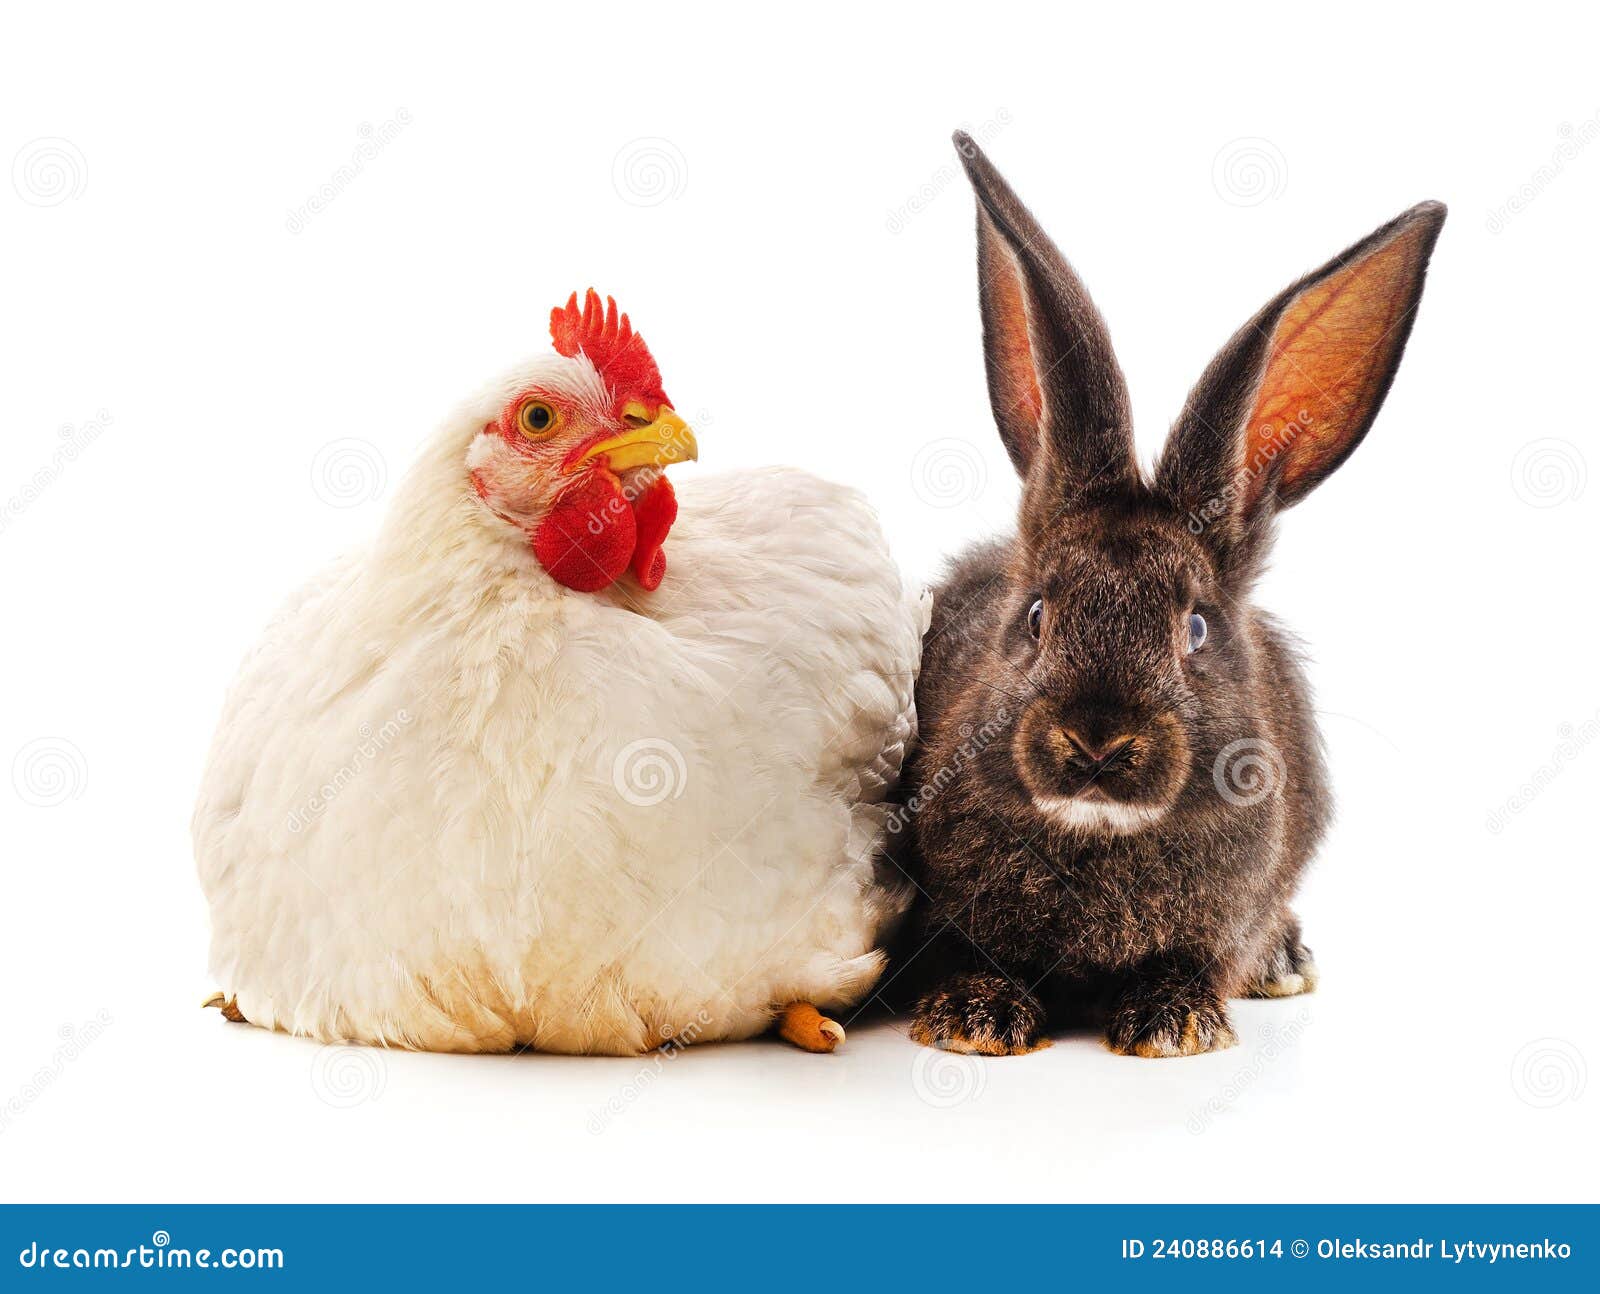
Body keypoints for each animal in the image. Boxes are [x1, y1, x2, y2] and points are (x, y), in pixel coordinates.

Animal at [895, 132, 1445, 1057]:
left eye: (1195, 629)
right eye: (1036, 617)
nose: (1097, 739)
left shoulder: (1224, 917)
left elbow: (1193, 963)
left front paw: (1172, 1022)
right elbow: (977, 956)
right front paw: (974, 1018)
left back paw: (1285, 964)